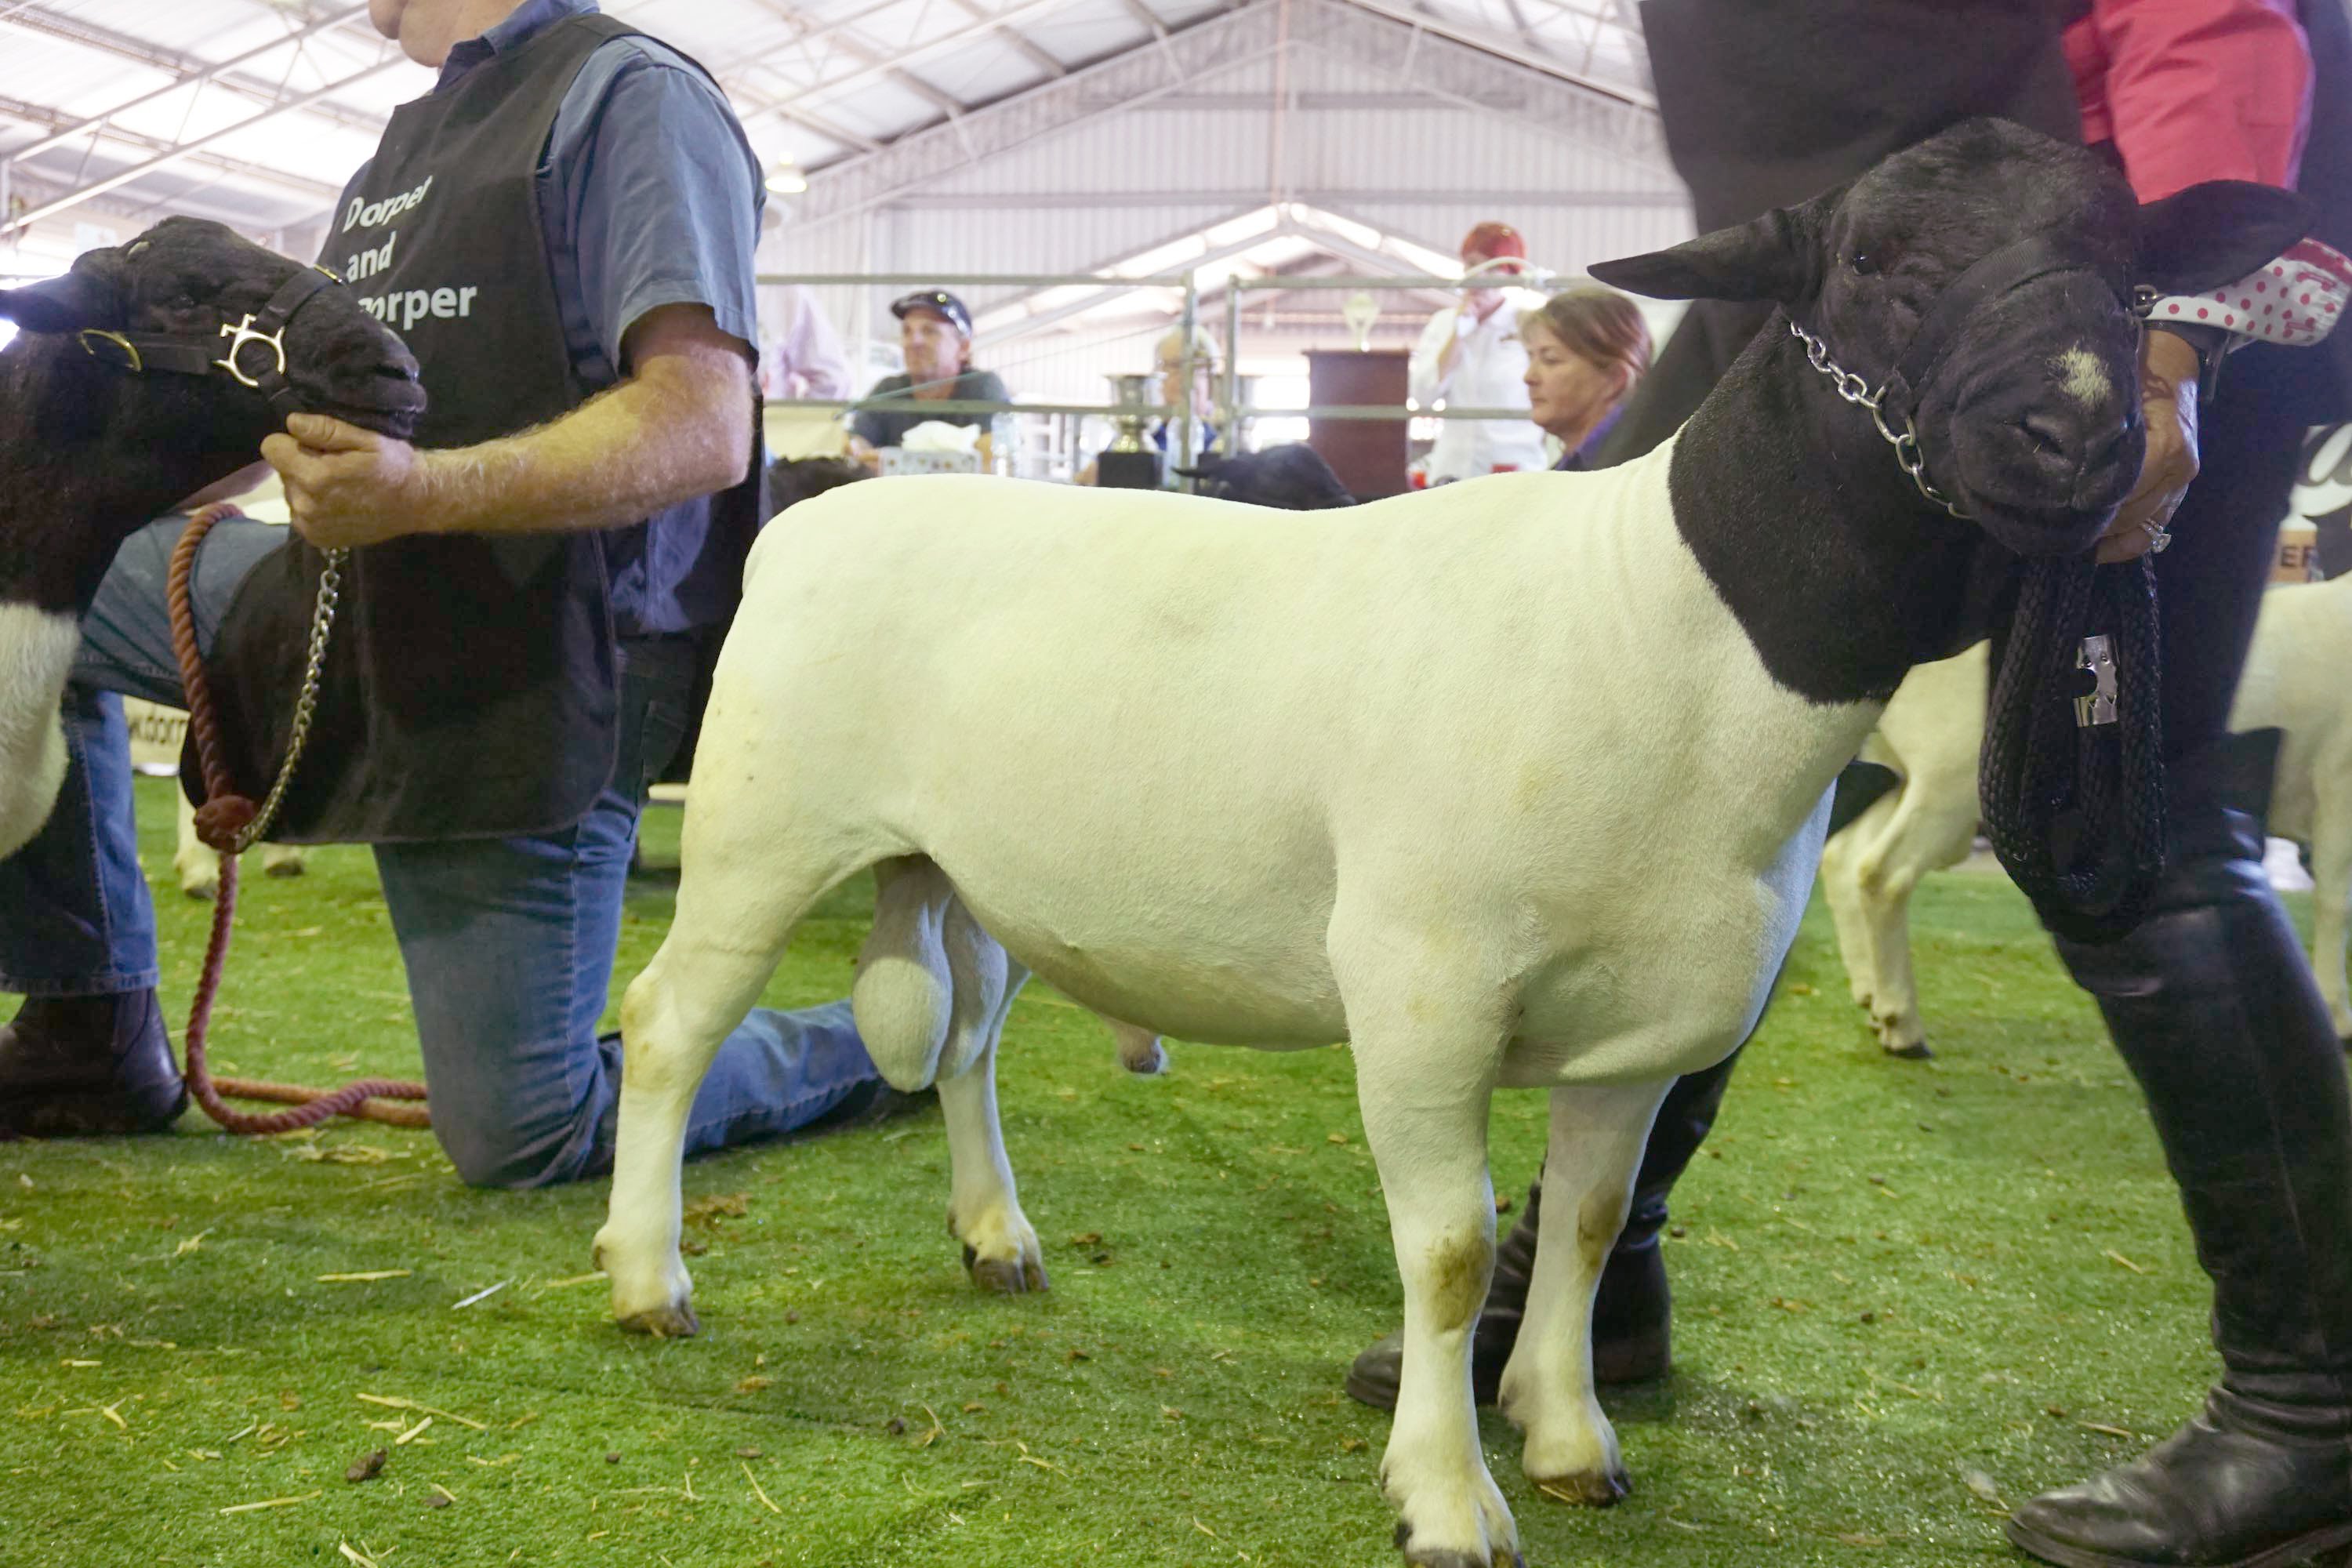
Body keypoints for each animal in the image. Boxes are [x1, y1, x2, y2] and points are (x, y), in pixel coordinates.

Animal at [1830, 571, 2352, 1057]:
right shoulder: (2337, 784)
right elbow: (2337, 902)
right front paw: (2337, 1015)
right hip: (1950, 778)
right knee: (1882, 873)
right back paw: (1902, 1024)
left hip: (1901, 772)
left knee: (1844, 858)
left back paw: (1872, 996)